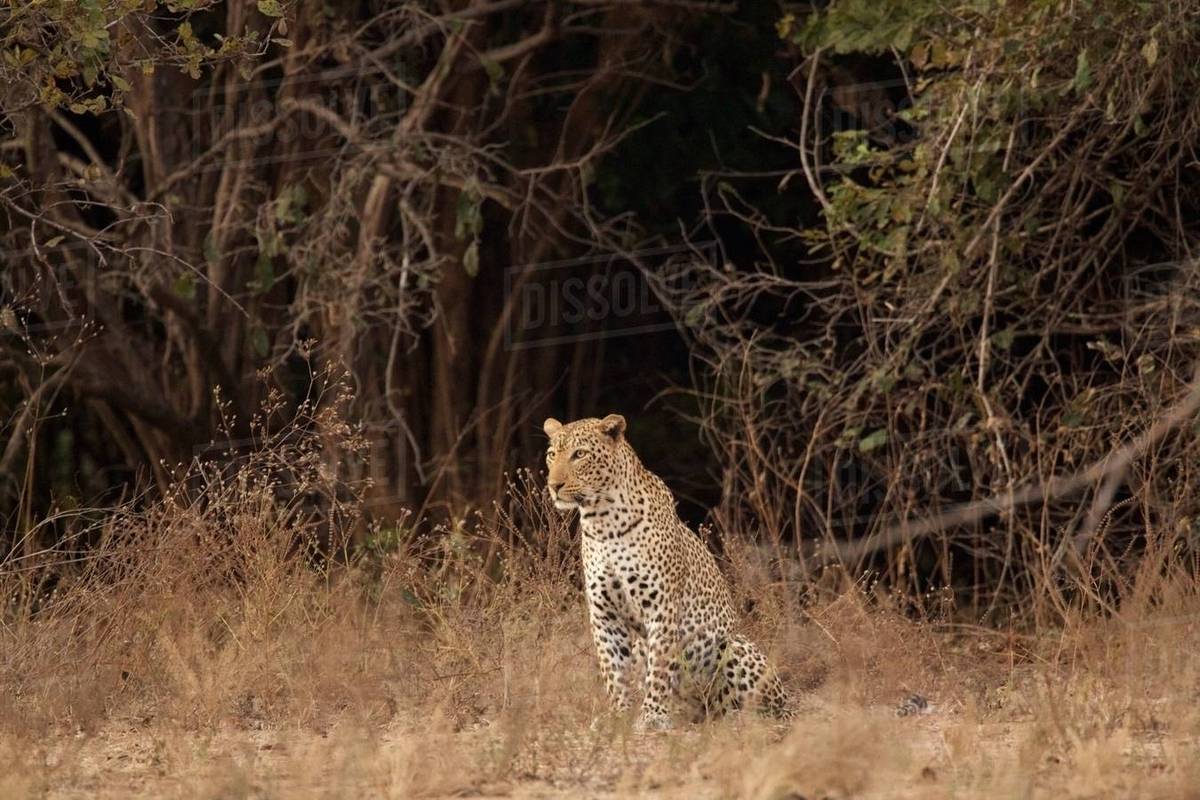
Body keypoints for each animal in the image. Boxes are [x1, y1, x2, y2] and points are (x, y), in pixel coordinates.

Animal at [543, 413, 790, 731]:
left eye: (580, 454)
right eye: (552, 455)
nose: (554, 485)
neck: (602, 522)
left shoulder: (661, 609)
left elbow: (659, 667)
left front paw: (651, 716)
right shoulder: (604, 615)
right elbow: (613, 671)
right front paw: (618, 715)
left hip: (732, 646)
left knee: (761, 707)